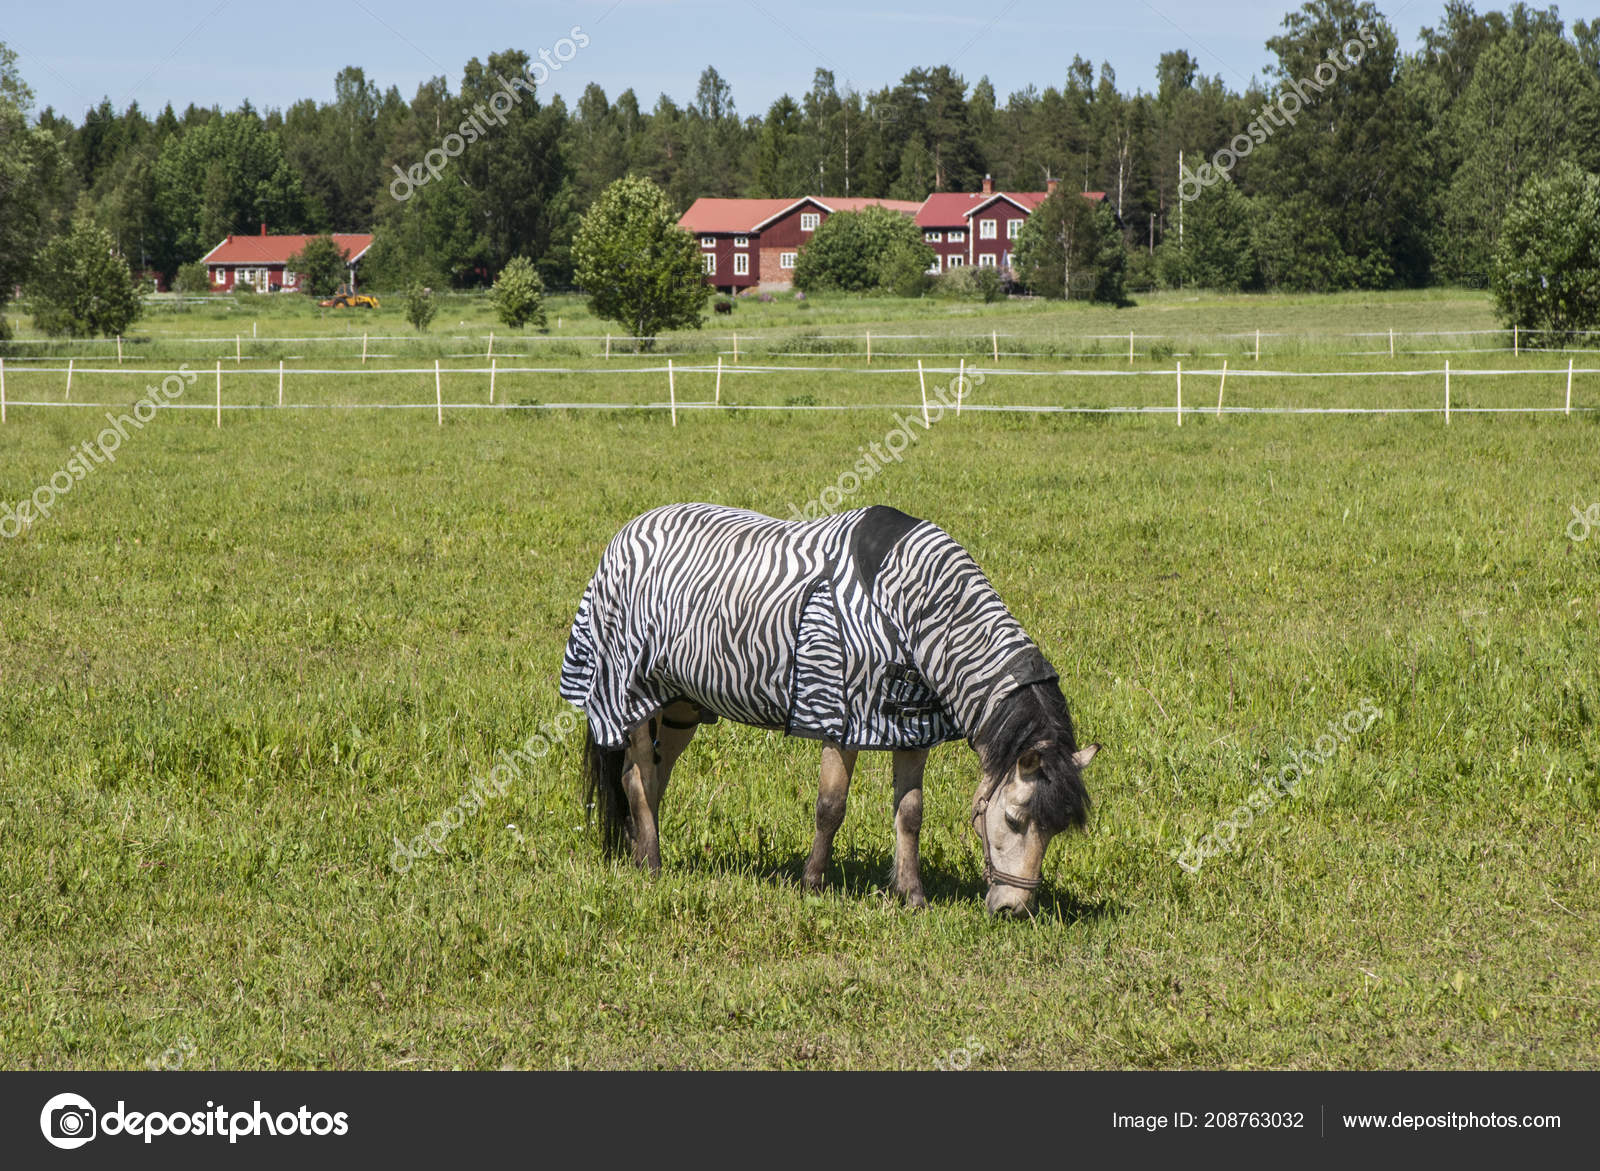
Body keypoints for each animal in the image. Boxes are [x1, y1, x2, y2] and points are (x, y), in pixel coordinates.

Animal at [559, 502, 1099, 915]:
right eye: (1013, 820)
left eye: (1055, 830)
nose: (1014, 910)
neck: (914, 607)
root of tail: (627, 531)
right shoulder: (838, 713)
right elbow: (830, 807)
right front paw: (812, 885)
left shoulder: (911, 725)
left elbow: (911, 813)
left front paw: (912, 896)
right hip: (628, 689)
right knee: (637, 777)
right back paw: (652, 867)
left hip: (679, 706)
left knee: (648, 777)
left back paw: (639, 853)